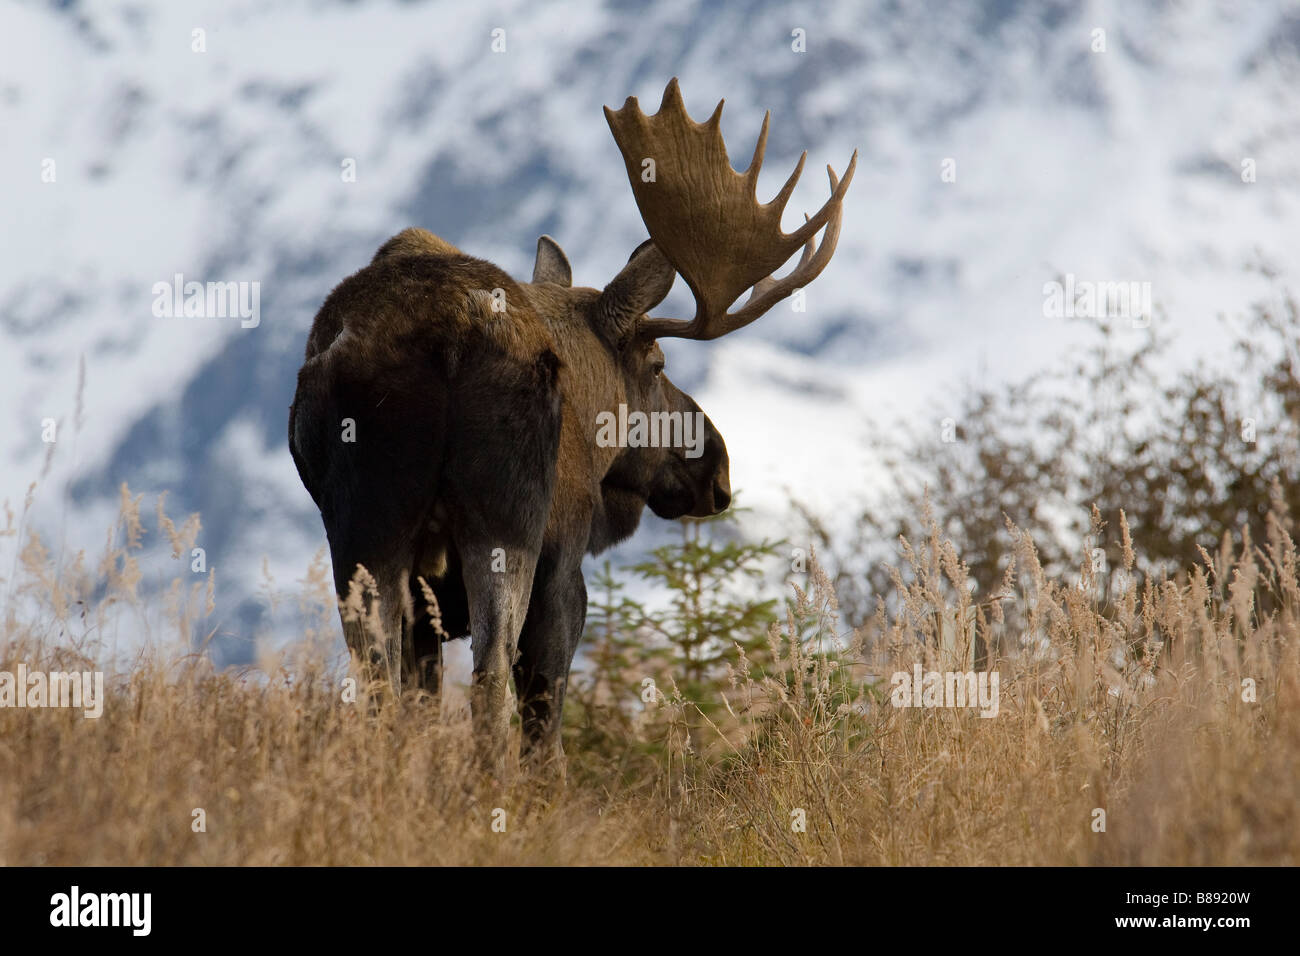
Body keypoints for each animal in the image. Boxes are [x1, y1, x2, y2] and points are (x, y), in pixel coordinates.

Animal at [288, 78, 855, 772]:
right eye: (658, 364)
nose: (716, 469)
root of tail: (447, 339)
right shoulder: (566, 563)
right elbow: (544, 716)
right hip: (506, 523)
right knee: (491, 680)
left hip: (363, 527)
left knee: (376, 682)